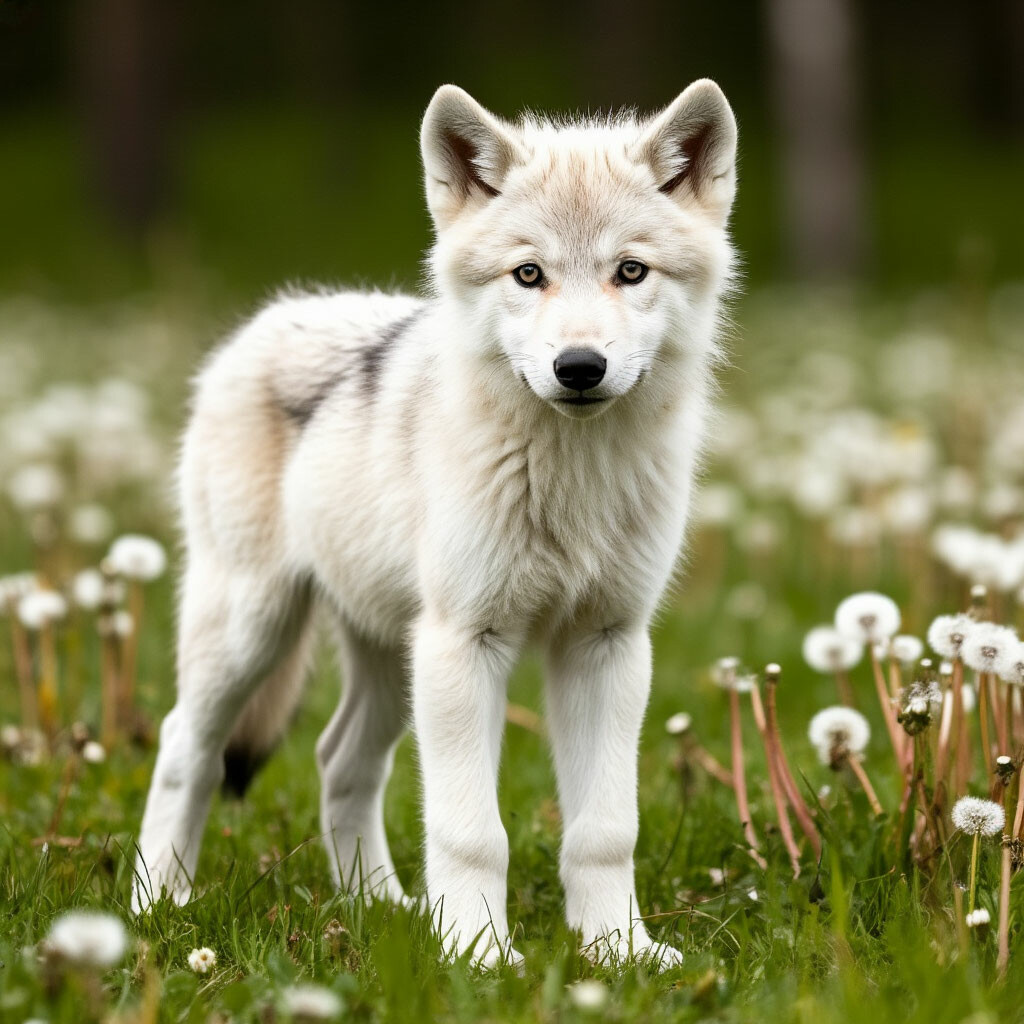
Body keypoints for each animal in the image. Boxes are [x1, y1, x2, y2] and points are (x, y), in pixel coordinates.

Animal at [133, 79, 737, 968]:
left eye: (631, 271)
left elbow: (605, 830)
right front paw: (479, 957)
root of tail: (272, 319)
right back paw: (158, 905)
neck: (570, 476)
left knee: (338, 761)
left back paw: (385, 909)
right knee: (186, 747)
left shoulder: (607, 646)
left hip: (390, 662)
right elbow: (472, 831)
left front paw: (617, 952)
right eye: (529, 274)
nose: (579, 368)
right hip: (257, 632)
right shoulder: (466, 644)